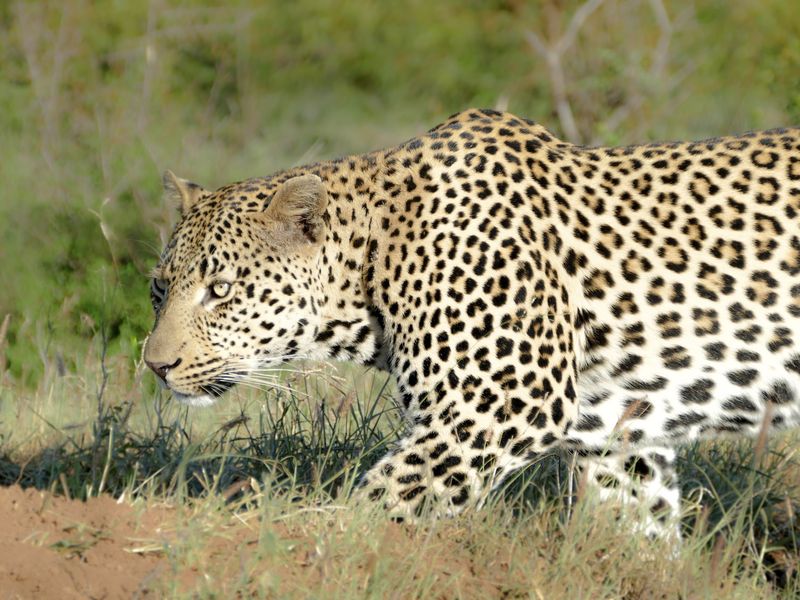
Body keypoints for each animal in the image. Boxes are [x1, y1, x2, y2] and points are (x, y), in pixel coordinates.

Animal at [144, 108, 800, 538]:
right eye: (160, 288)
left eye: (220, 290)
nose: (156, 366)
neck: (376, 257)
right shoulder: (619, 434)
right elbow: (635, 532)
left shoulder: (500, 403)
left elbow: (379, 501)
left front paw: (307, 543)